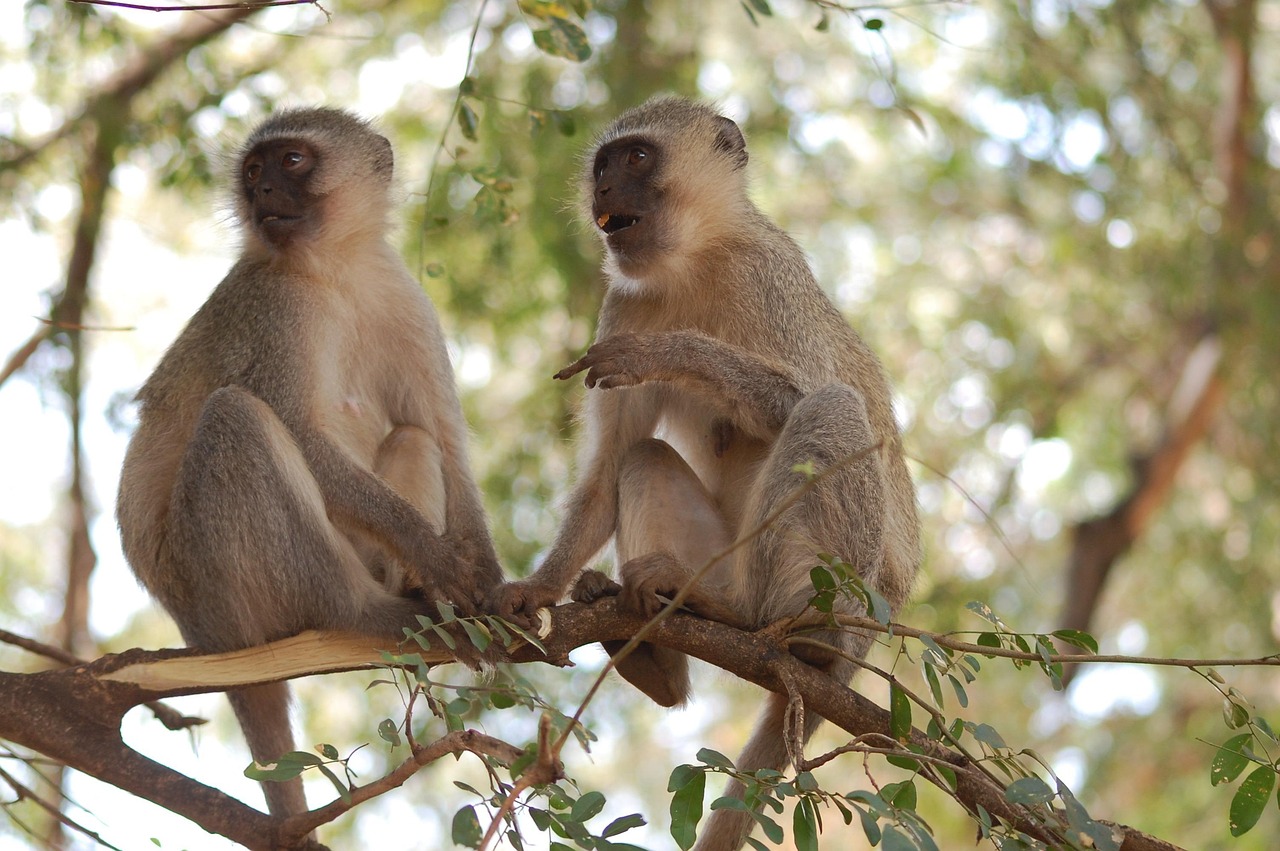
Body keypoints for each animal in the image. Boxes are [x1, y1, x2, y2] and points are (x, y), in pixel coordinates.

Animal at [116, 107, 502, 820]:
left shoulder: (405, 299)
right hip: (226, 595)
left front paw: (492, 583)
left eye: (290, 161)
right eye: (253, 171)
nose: (263, 190)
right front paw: (437, 558)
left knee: (413, 437)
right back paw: (363, 613)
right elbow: (296, 428)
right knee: (237, 417)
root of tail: (199, 632)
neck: (335, 270)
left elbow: (447, 441)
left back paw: (415, 597)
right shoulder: (274, 309)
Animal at [485, 97, 920, 851]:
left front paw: (668, 353)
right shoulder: (623, 303)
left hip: (849, 595)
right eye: (603, 165)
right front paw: (540, 588)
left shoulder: (769, 280)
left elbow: (802, 395)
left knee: (833, 406)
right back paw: (658, 640)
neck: (694, 261)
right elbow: (610, 463)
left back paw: (761, 622)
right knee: (643, 458)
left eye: (636, 158)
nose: (603, 189)